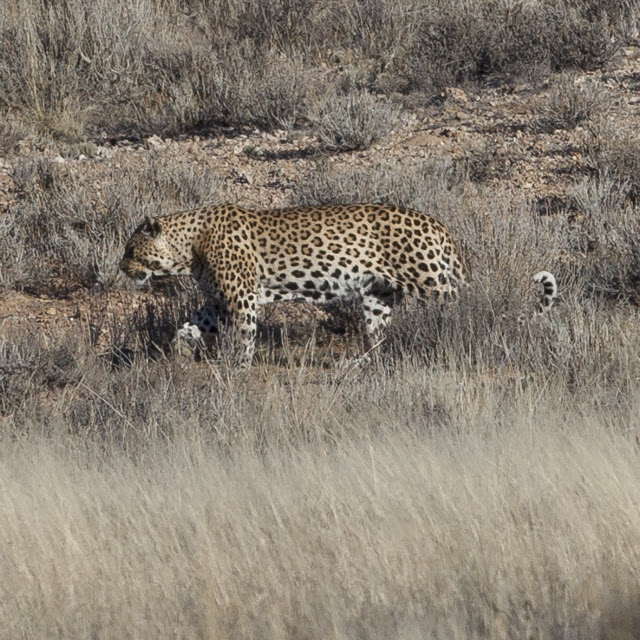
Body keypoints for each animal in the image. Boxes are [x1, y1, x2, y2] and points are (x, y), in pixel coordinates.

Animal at [120, 203, 555, 364]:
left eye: (130, 249)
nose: (120, 267)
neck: (188, 247)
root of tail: (434, 221)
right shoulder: (218, 301)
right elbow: (191, 323)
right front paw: (179, 348)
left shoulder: (241, 298)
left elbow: (244, 336)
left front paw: (238, 367)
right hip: (378, 295)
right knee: (377, 335)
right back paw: (361, 362)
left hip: (432, 281)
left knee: (471, 304)